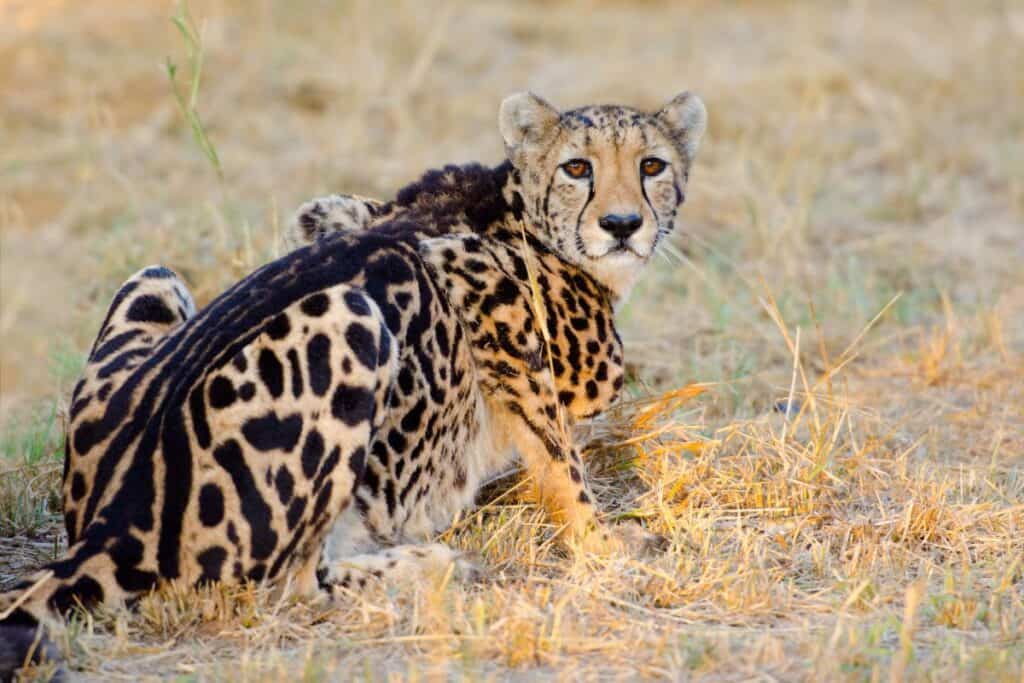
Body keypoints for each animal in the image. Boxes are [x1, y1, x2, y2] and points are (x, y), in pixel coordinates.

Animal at [0, 90, 706, 680]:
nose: (622, 225)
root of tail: (107, 525)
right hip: (350, 316)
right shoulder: (476, 281)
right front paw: (606, 542)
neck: (511, 207)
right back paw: (428, 566)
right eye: (577, 168)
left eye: (652, 165)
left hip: (153, 278)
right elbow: (558, 451)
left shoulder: (336, 213)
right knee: (284, 586)